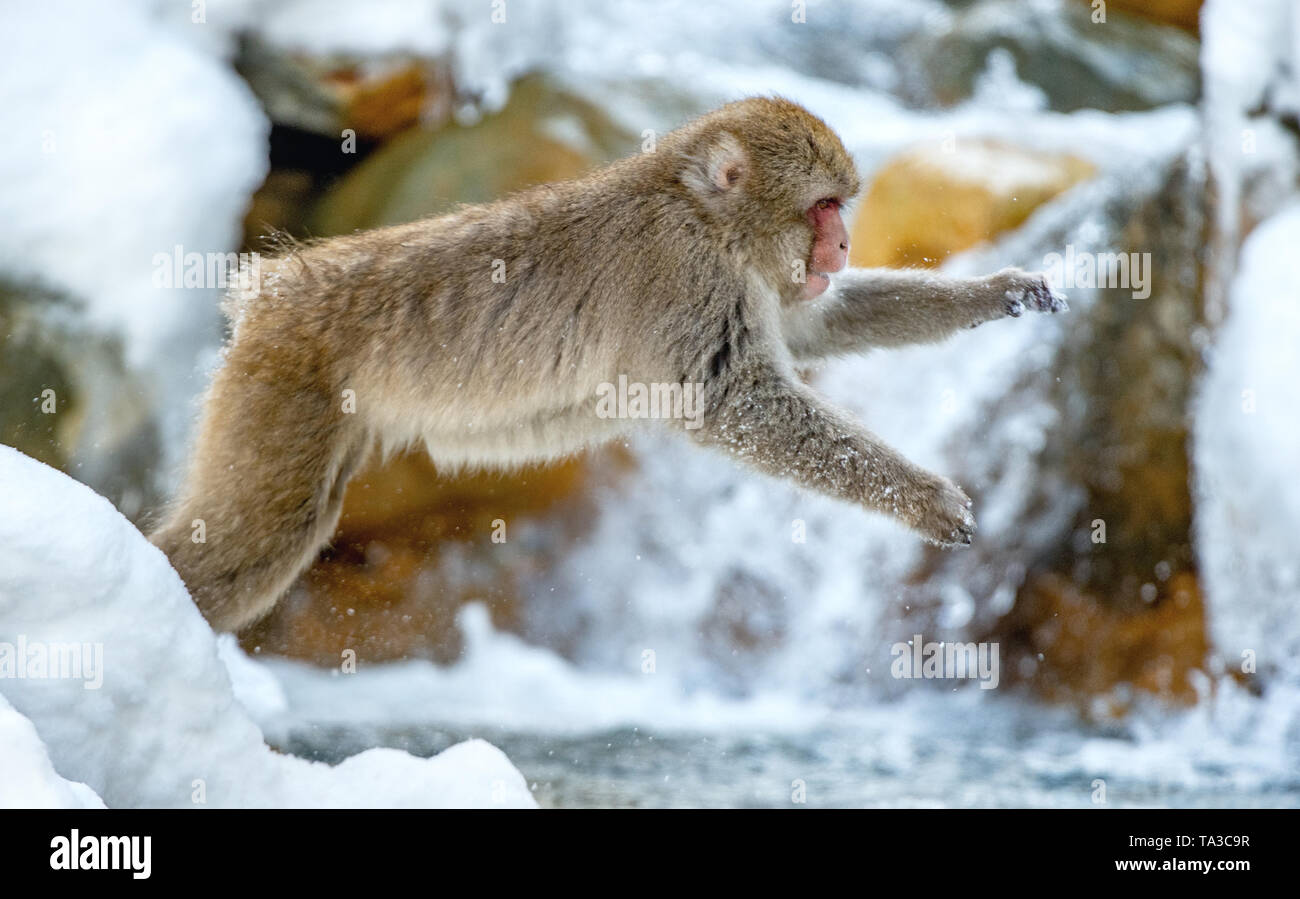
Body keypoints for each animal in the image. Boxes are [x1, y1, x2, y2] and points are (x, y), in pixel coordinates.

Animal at [150, 96, 1066, 633]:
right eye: (823, 208)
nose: (841, 246)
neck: (705, 215)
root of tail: (273, 288)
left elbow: (817, 326)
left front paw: (998, 292)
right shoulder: (687, 277)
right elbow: (729, 403)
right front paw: (924, 498)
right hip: (283, 382)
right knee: (258, 534)